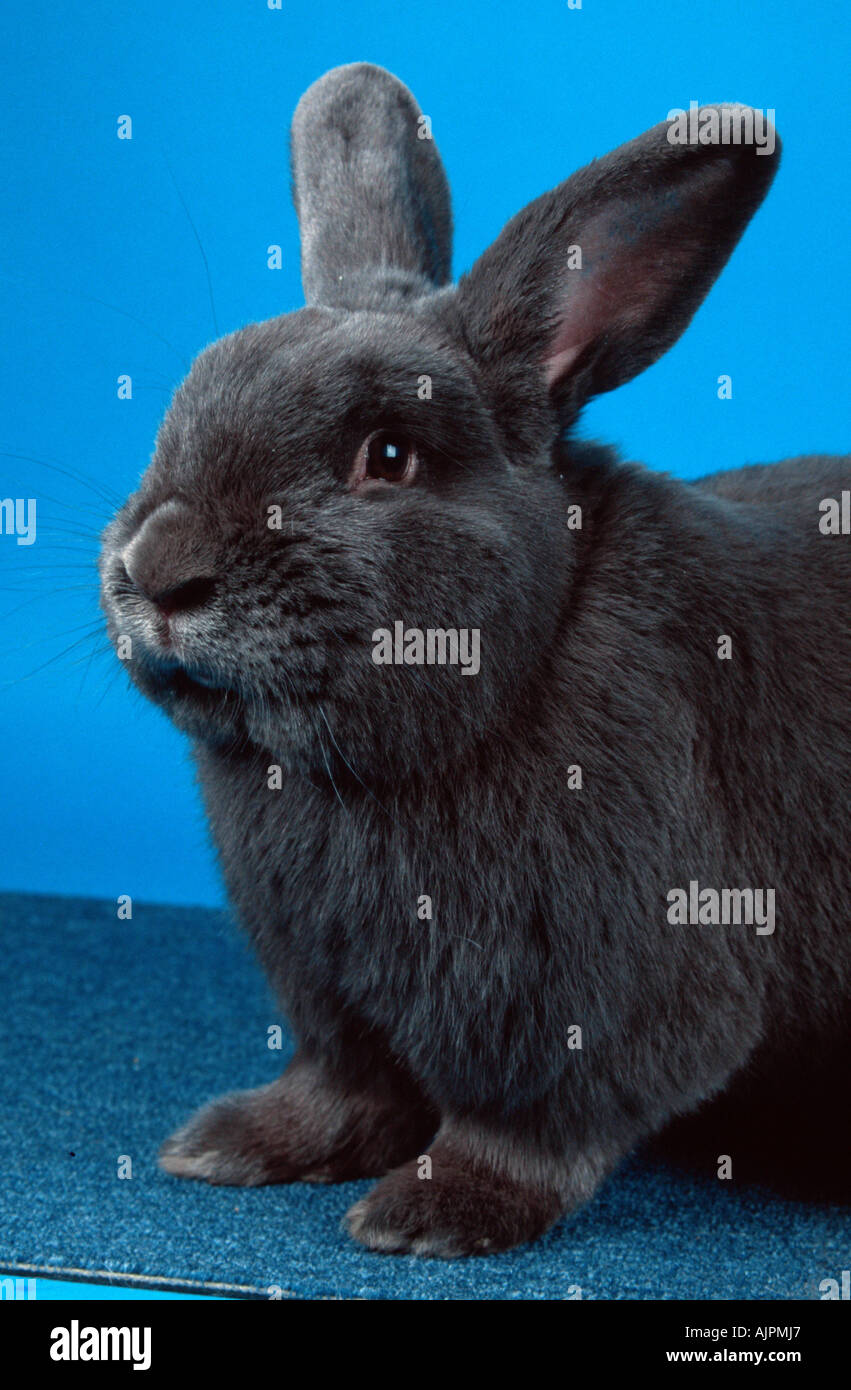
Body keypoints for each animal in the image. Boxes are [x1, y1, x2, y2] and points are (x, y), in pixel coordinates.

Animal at [98, 62, 850, 1257]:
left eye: (389, 454)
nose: (158, 568)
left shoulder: (601, 993)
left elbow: (531, 1125)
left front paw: (430, 1212)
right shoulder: (331, 1004)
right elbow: (340, 1090)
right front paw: (229, 1145)